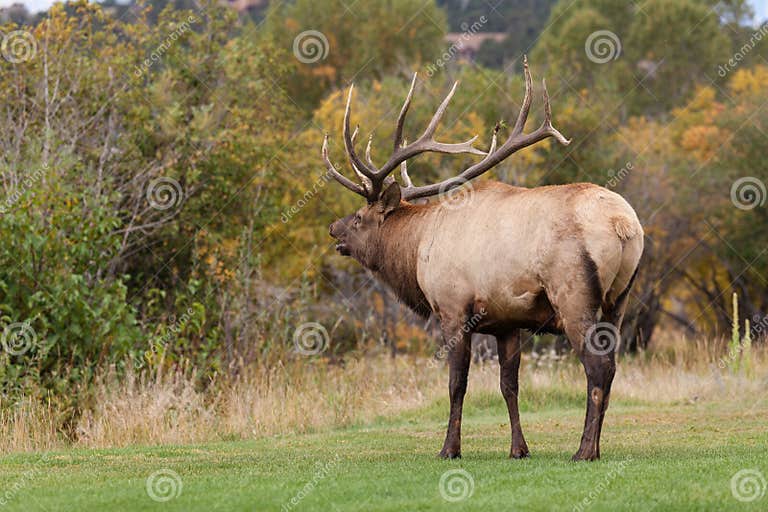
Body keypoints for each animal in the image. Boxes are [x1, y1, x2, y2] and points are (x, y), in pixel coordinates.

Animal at [323, 58, 643, 462]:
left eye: (359, 218)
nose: (333, 228)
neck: (417, 250)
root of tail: (624, 226)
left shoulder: (453, 309)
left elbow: (456, 384)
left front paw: (449, 448)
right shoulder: (507, 323)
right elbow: (509, 385)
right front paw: (519, 449)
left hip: (573, 294)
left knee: (597, 365)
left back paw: (583, 450)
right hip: (621, 298)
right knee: (613, 364)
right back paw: (596, 448)